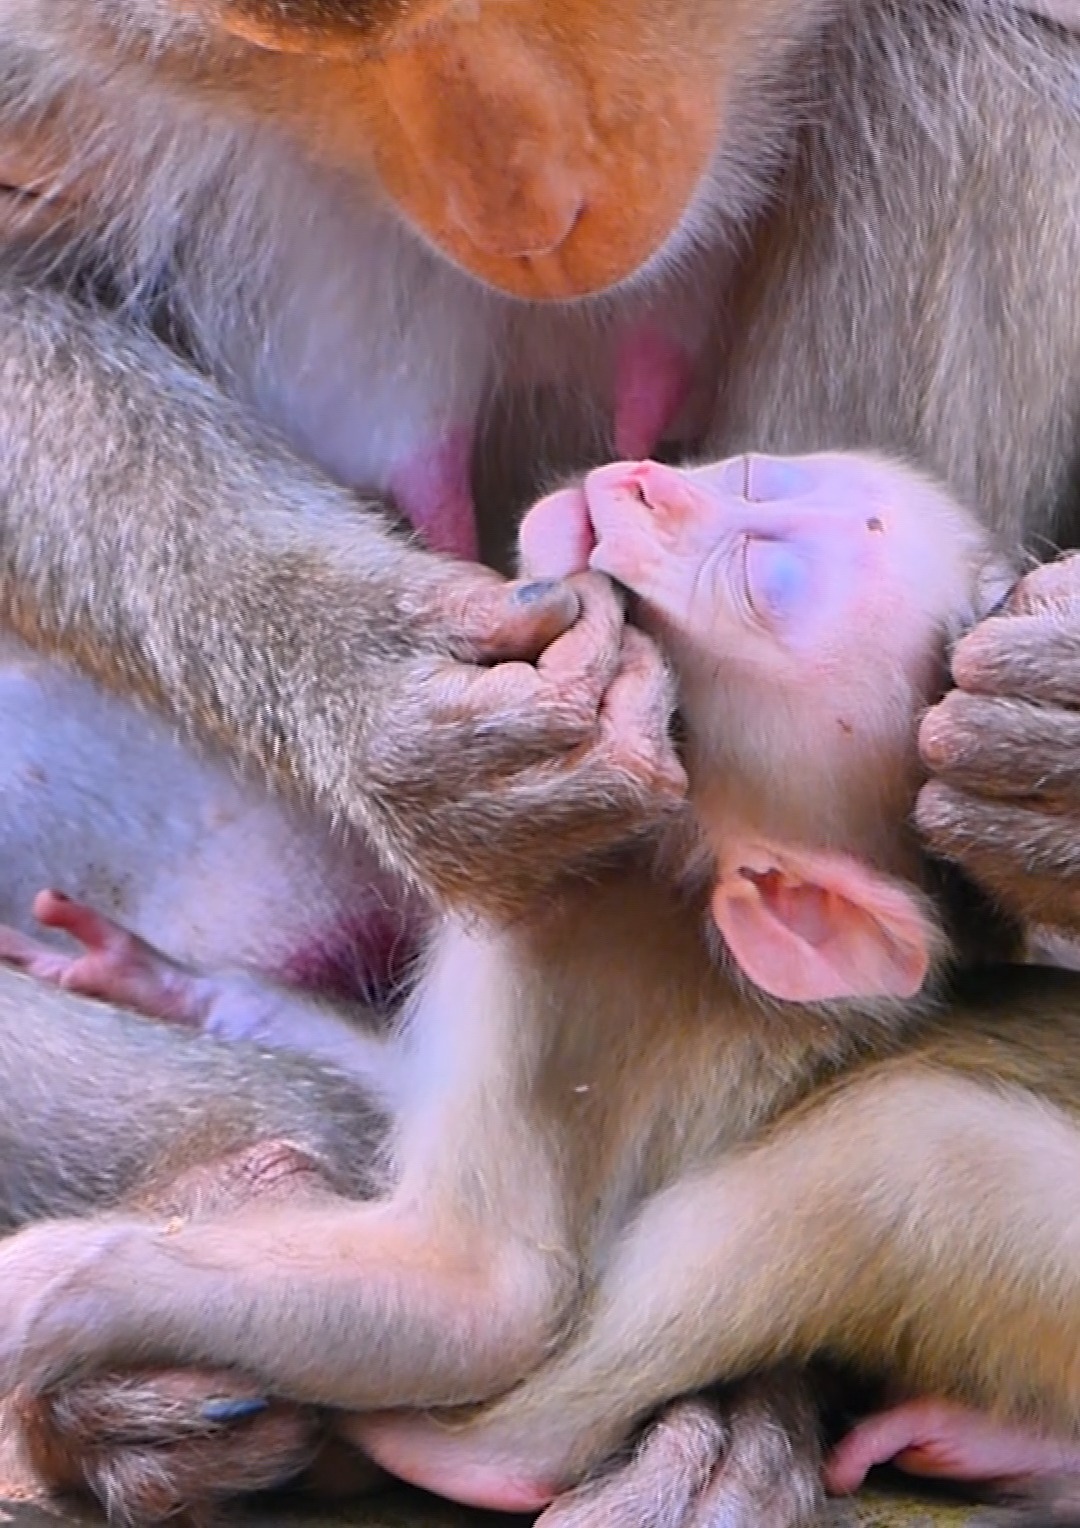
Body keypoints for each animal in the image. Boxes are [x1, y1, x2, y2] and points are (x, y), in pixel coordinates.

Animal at [8, 448, 1078, 1528]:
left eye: (757, 583)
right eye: (757, 477)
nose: (645, 480)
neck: (671, 881)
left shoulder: (562, 951)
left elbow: (485, 1298)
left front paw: (42, 1289)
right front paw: (171, 981)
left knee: (896, 1150)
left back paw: (483, 1455)